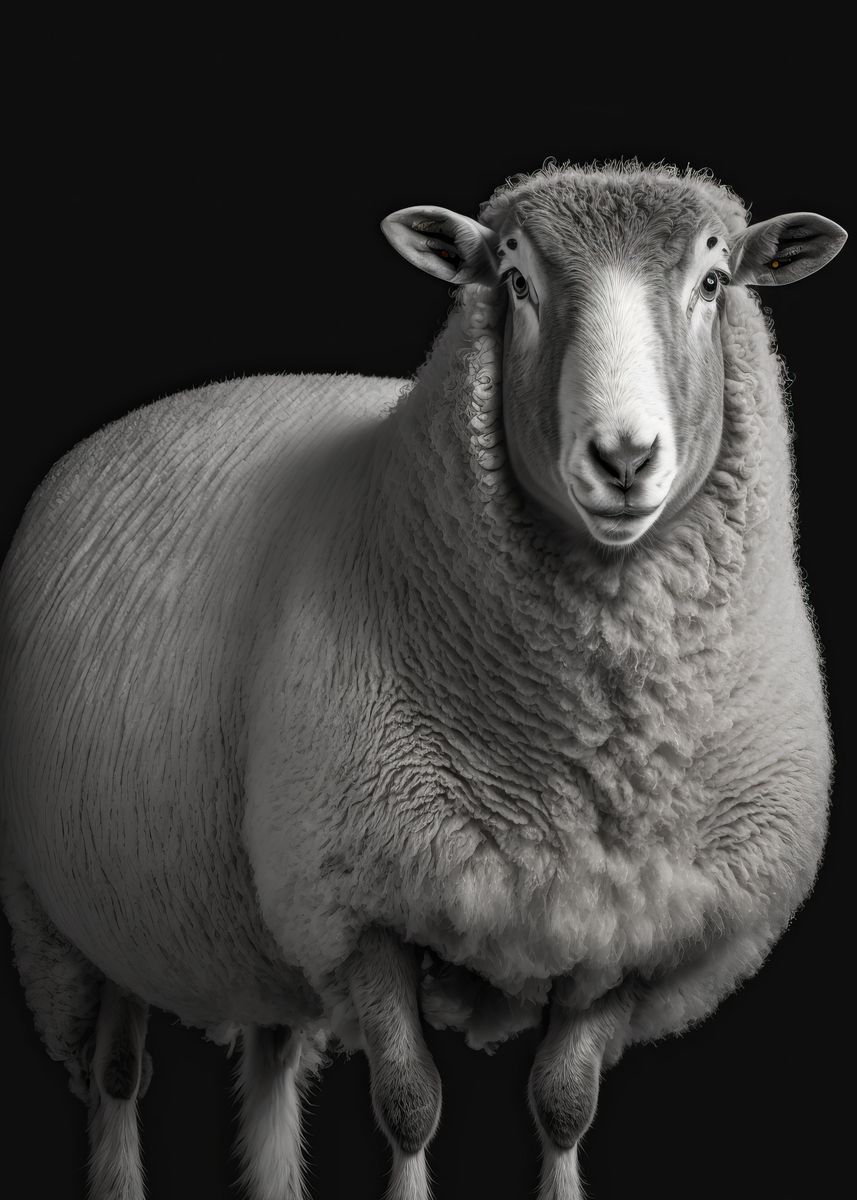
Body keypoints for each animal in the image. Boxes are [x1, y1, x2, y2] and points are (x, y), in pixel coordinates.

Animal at [0, 160, 846, 1200]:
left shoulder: (628, 919)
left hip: (257, 924)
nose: (623, 458)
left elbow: (564, 1107)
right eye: (514, 280)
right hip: (70, 916)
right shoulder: (359, 900)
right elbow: (409, 1109)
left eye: (714, 283)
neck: (598, 763)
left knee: (272, 1055)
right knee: (117, 1075)